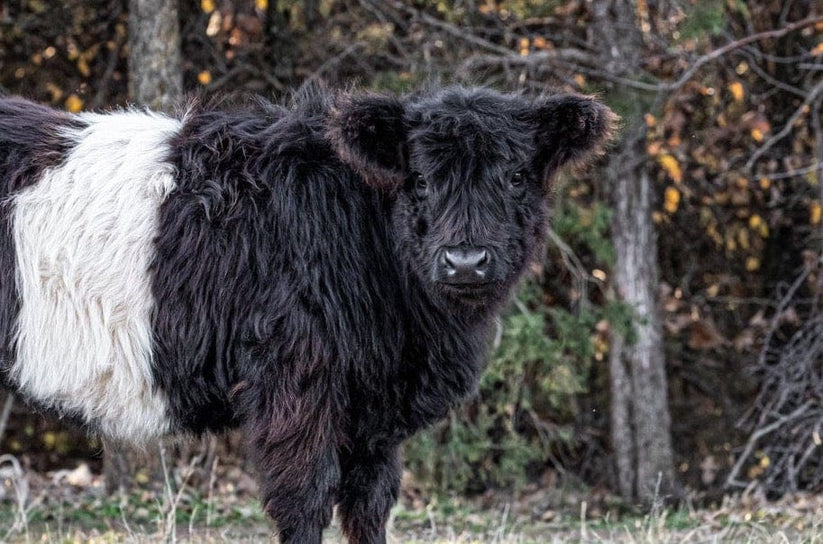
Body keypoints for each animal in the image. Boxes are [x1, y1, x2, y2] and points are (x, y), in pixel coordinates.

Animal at [0, 85, 615, 543]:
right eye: (419, 179)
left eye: (516, 175)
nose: (466, 261)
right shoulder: (296, 381)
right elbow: (305, 500)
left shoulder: (374, 410)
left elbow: (369, 504)